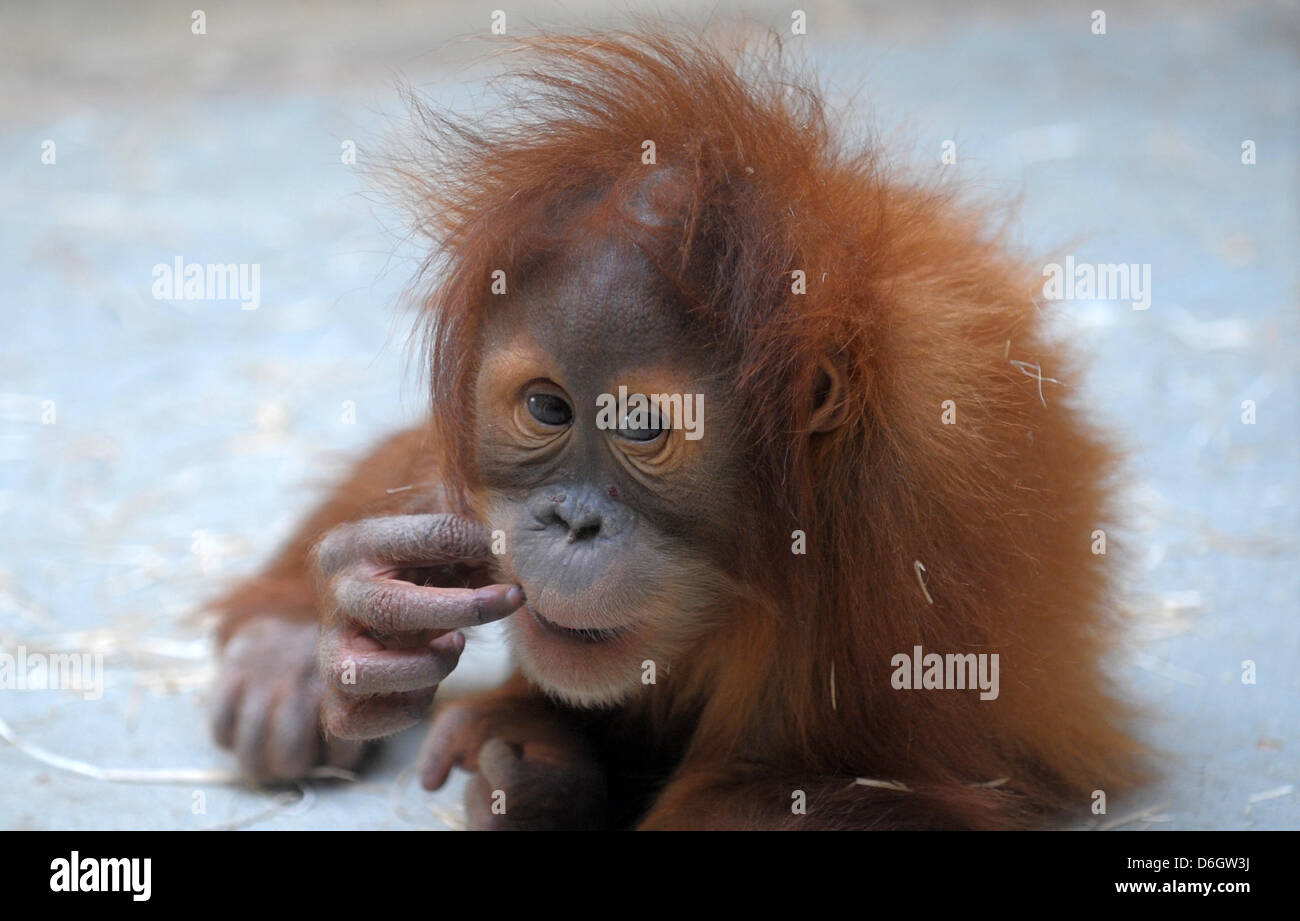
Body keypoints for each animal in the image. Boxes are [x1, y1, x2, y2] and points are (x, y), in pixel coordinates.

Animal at [210, 30, 1145, 829]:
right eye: (548, 409)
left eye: (640, 425)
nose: (571, 521)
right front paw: (355, 614)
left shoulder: (917, 506)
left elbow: (843, 788)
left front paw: (539, 777)